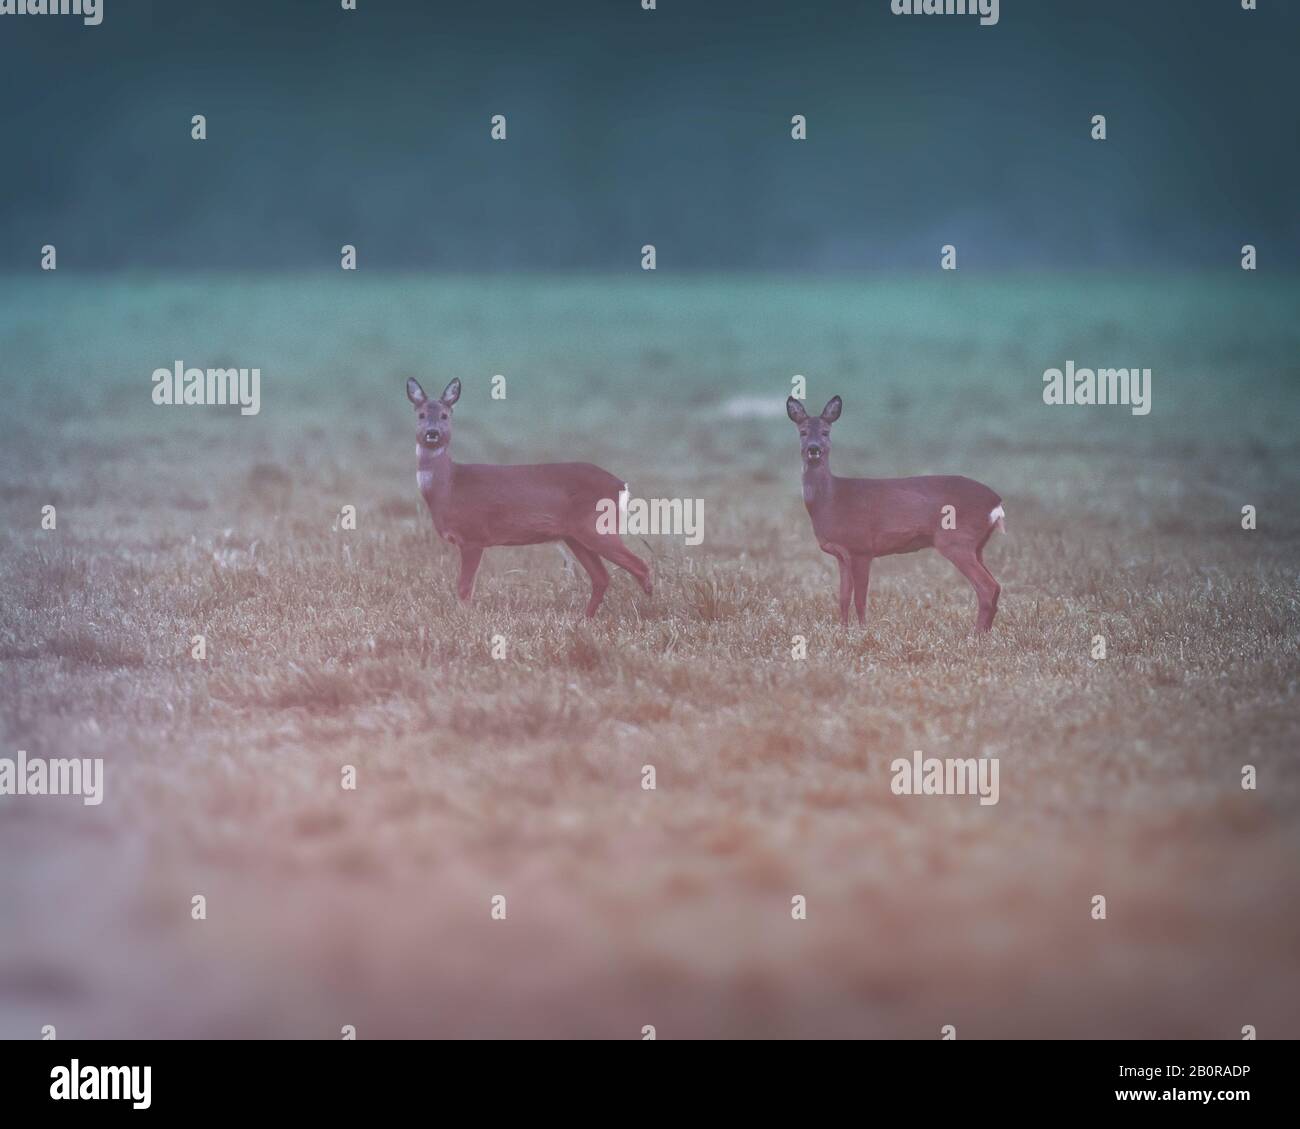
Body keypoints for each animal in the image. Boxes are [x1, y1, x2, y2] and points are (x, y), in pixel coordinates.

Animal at [406, 377, 652, 616]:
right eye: (421, 415)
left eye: (444, 415)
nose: (432, 432)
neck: (449, 486)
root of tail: (621, 485)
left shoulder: (473, 536)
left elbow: (464, 587)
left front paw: (464, 618)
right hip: (575, 536)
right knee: (602, 576)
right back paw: (585, 618)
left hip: (597, 527)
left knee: (640, 565)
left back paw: (649, 609)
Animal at [786, 395, 1005, 631]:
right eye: (803, 432)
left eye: (826, 432)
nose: (814, 448)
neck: (831, 499)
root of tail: (996, 502)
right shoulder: (842, 554)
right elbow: (843, 597)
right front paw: (843, 631)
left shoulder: (861, 548)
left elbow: (860, 598)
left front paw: (863, 631)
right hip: (977, 545)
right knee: (996, 586)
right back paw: (985, 631)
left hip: (956, 540)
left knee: (987, 586)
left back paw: (976, 634)